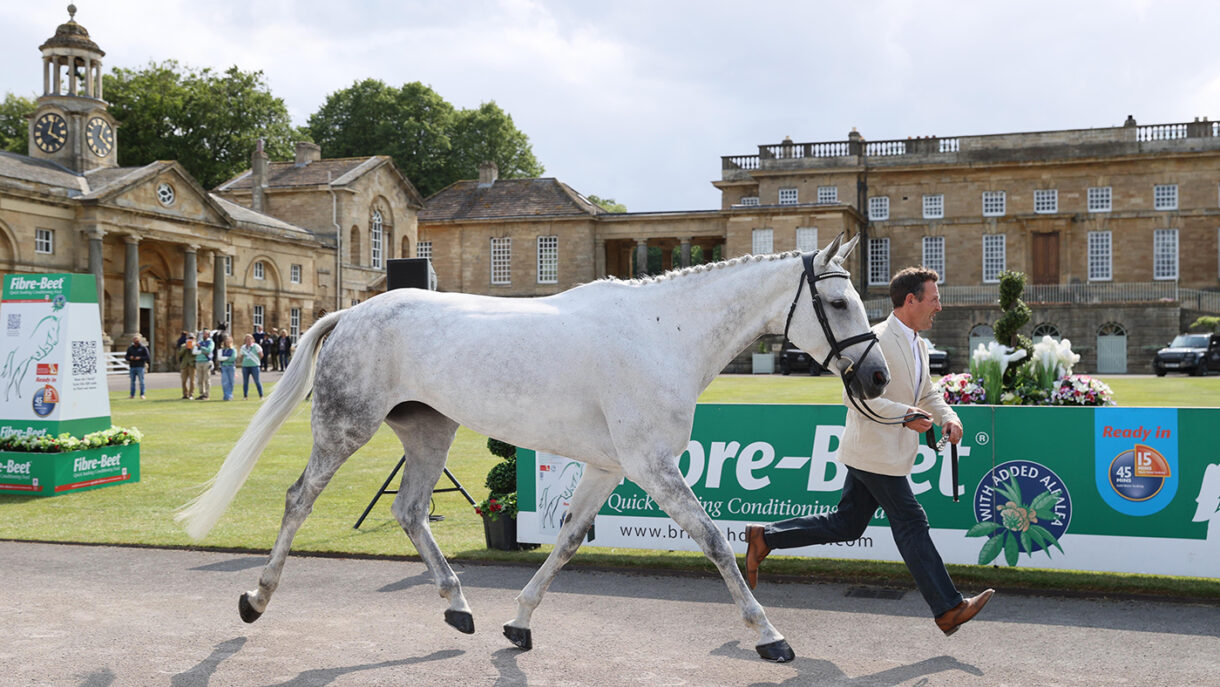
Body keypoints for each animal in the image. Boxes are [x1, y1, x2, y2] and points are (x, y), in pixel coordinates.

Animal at [176, 233, 890, 662]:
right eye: (836, 301)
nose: (879, 377)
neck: (663, 335)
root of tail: (351, 313)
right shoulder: (652, 466)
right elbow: (714, 540)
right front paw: (769, 634)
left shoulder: (609, 466)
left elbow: (569, 540)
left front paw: (518, 621)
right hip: (345, 426)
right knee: (299, 498)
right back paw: (257, 598)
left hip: (430, 430)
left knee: (409, 511)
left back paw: (459, 606)